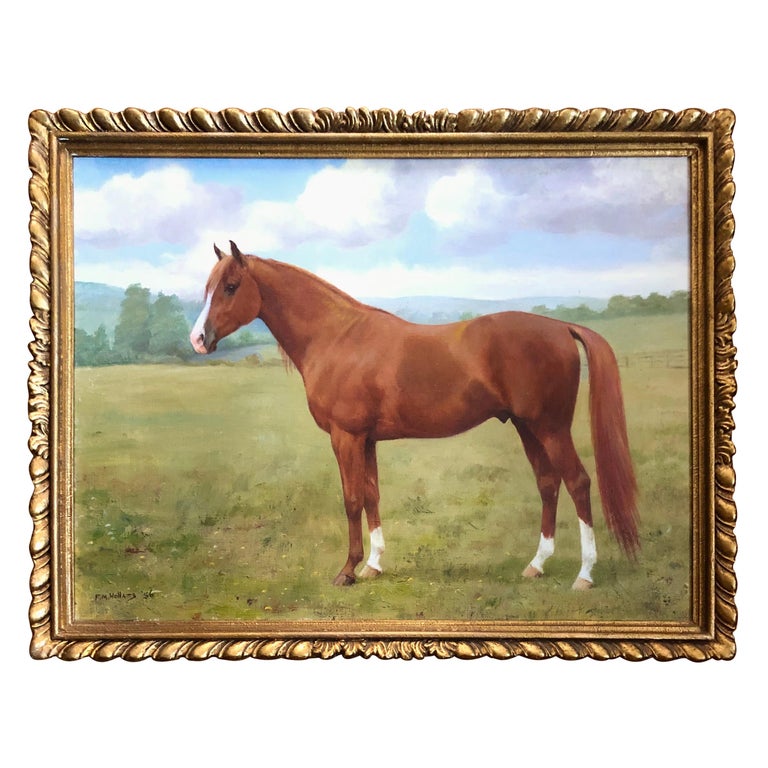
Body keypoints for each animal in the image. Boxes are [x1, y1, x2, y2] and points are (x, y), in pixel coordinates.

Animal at [190, 241, 639, 590]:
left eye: (231, 287)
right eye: (208, 287)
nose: (198, 339)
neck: (336, 338)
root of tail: (560, 327)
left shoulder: (345, 437)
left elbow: (351, 499)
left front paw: (347, 571)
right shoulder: (366, 439)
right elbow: (371, 495)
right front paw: (373, 566)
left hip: (551, 427)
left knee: (577, 482)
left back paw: (584, 575)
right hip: (529, 427)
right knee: (548, 484)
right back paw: (536, 566)